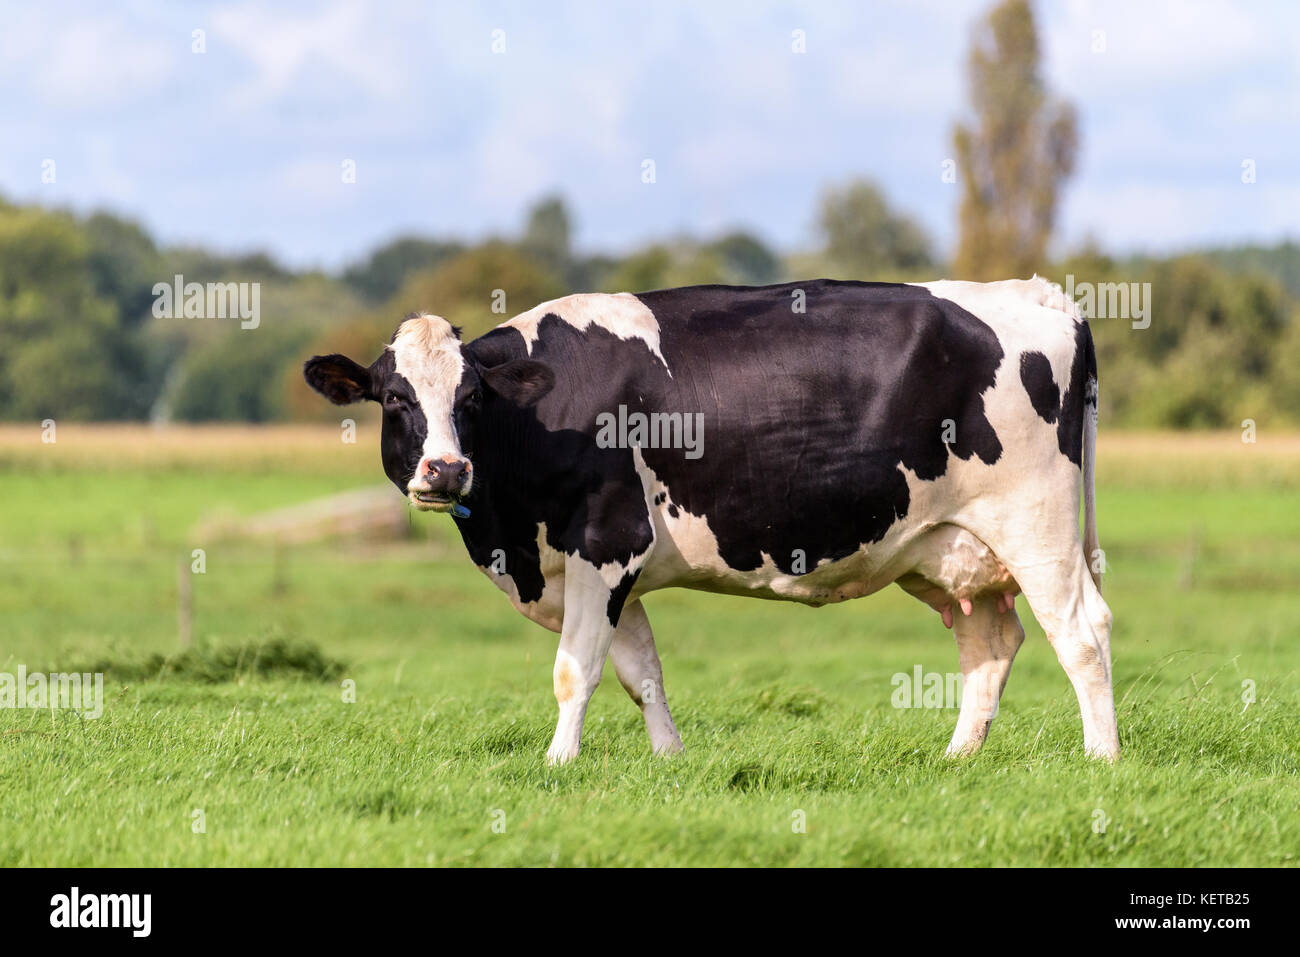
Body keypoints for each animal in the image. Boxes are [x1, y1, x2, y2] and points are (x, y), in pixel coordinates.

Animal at [303, 276, 1118, 765]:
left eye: (471, 397)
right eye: (394, 399)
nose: (445, 470)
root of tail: (1042, 295)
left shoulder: (607, 542)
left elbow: (576, 669)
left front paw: (559, 762)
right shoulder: (606, 573)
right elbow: (641, 672)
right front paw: (670, 760)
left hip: (1037, 524)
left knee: (1081, 632)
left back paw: (1101, 757)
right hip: (949, 548)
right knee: (991, 642)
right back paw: (957, 759)